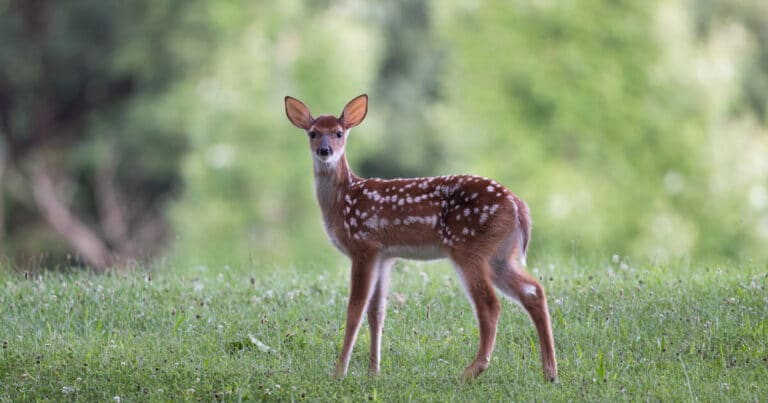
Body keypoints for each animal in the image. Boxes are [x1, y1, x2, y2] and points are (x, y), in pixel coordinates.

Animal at [284, 94, 558, 383]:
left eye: (339, 133)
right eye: (313, 133)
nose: (324, 151)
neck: (343, 200)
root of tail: (518, 205)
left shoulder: (364, 246)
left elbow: (354, 310)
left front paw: (339, 372)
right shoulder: (384, 255)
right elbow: (376, 312)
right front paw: (373, 373)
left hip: (467, 247)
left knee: (490, 303)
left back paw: (470, 371)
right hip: (500, 254)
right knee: (533, 291)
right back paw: (550, 372)